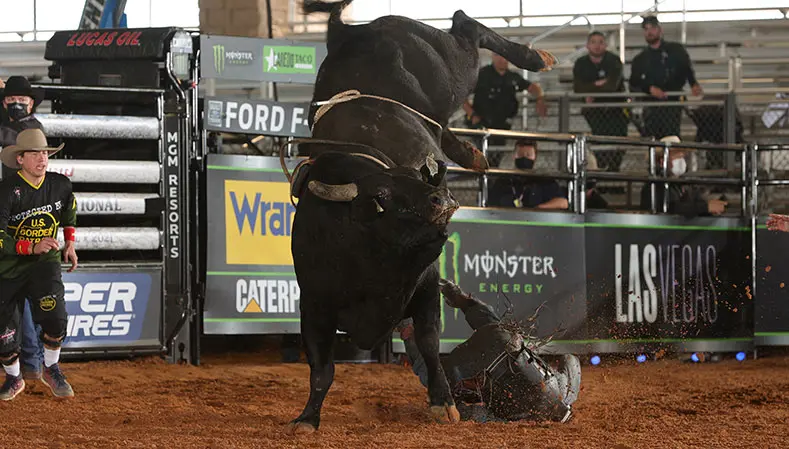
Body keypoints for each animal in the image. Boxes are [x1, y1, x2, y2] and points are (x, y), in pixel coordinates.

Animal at [286, 0, 557, 434]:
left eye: (414, 177)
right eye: (383, 196)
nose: (440, 197)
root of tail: (352, 31)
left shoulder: (426, 285)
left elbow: (430, 345)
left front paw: (443, 402)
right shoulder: (313, 306)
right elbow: (321, 370)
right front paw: (307, 418)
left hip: (453, 68)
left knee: (466, 26)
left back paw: (534, 57)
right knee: (444, 119)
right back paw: (471, 153)